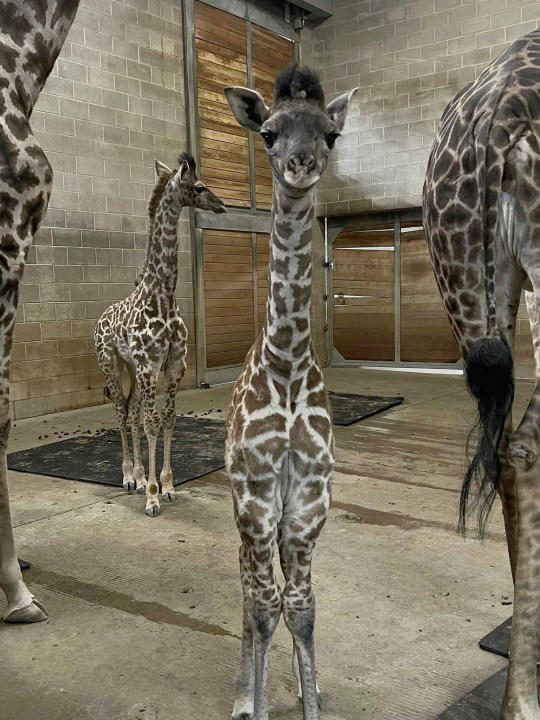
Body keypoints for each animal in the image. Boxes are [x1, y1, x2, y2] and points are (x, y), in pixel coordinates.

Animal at [95, 153, 225, 517]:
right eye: (199, 186)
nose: (222, 204)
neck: (163, 296)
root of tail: (99, 320)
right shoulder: (150, 365)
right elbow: (152, 422)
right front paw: (152, 497)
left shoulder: (174, 365)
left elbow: (167, 420)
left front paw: (166, 486)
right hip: (113, 365)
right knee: (122, 413)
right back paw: (129, 478)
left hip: (134, 370)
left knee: (133, 413)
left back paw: (139, 478)